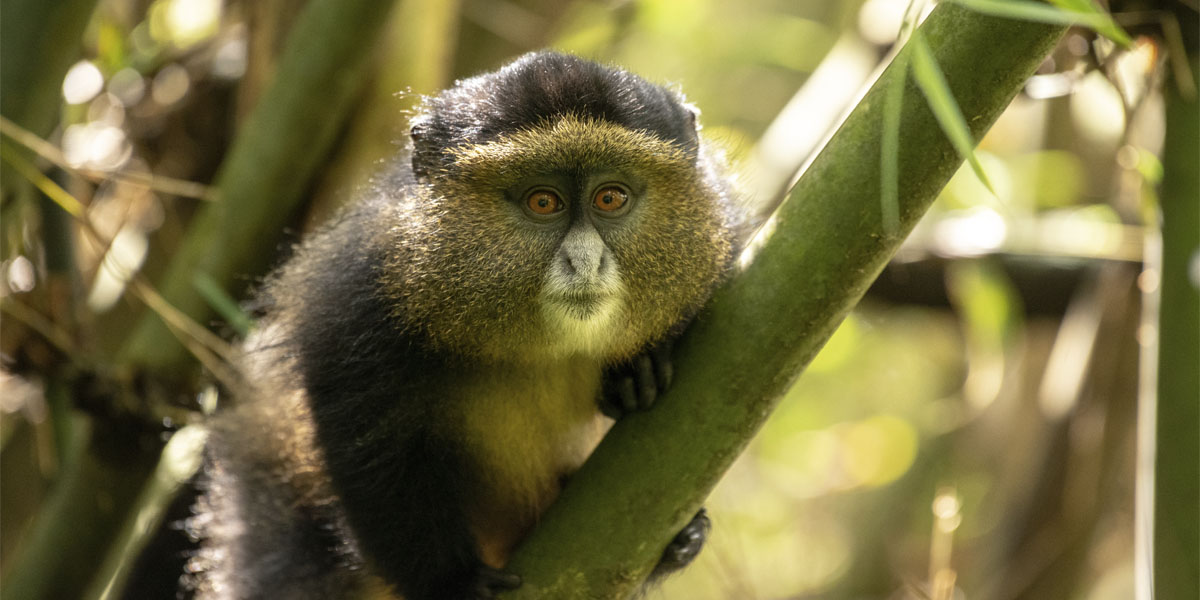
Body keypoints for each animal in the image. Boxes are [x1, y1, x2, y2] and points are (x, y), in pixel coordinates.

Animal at [189, 51, 740, 600]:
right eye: (544, 202)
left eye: (611, 199)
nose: (584, 261)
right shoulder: (359, 298)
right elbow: (370, 449)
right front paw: (451, 582)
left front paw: (638, 366)